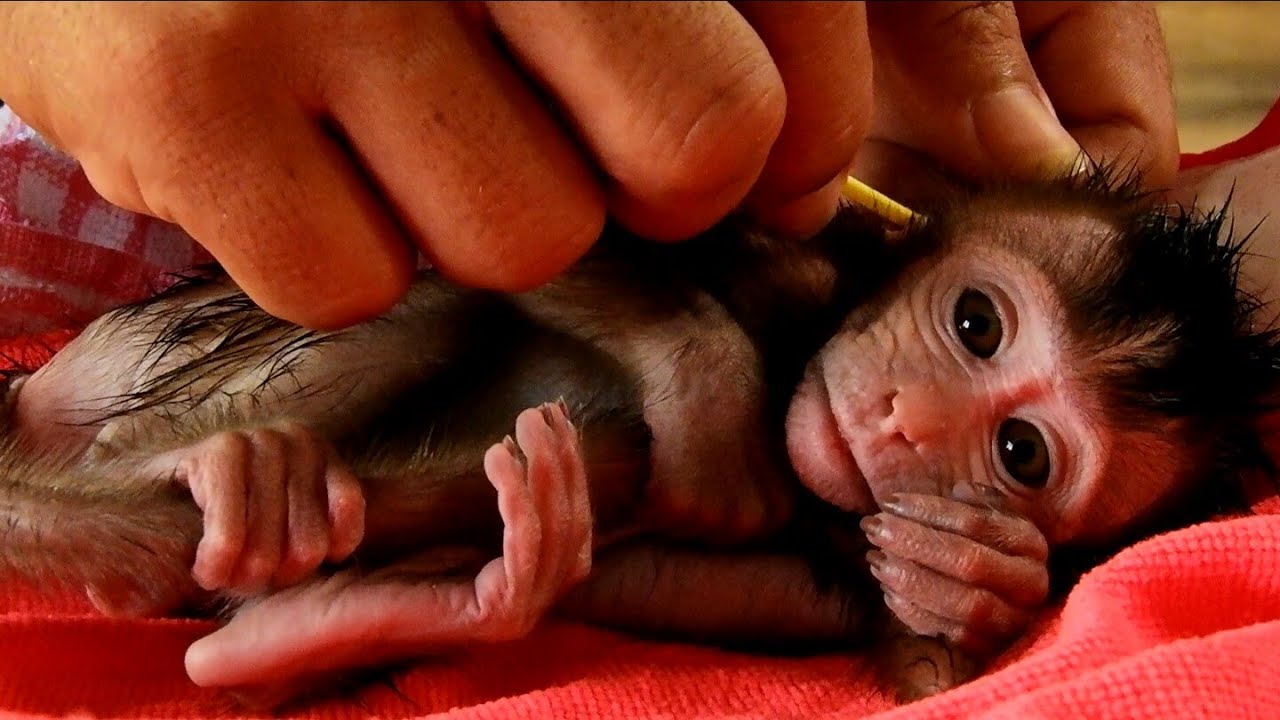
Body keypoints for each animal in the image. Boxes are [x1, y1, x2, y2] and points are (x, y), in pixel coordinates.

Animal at [0, 164, 1275, 707]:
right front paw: (702, 384)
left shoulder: (823, 573)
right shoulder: (803, 241)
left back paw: (357, 614)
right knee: (434, 291)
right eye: (974, 323)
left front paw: (975, 582)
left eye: (1020, 455)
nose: (907, 419)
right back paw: (222, 476)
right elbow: (518, 223)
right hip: (148, 352)